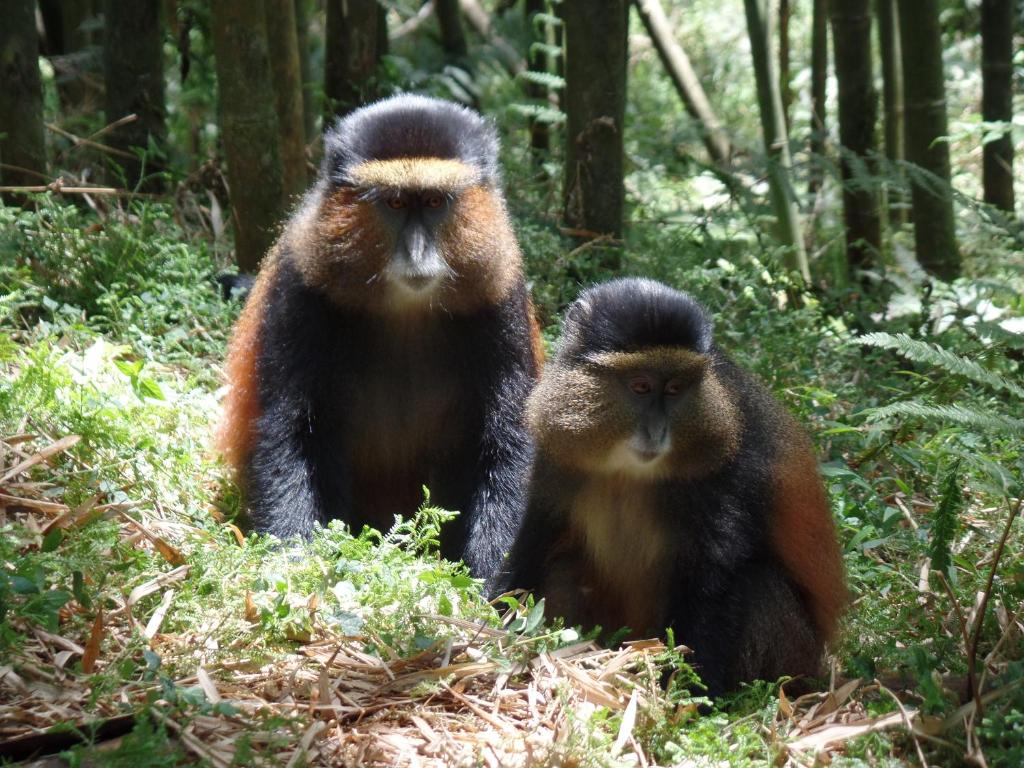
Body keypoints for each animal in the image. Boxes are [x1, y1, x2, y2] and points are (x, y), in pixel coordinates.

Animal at [218, 94, 543, 580]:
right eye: (394, 202)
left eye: (433, 201)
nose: (417, 253)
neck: (405, 308)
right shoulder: (299, 287)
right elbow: (288, 430)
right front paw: (294, 563)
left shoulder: (501, 293)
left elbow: (507, 440)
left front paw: (490, 584)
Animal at [487, 278, 846, 695]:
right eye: (641, 386)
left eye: (675, 388)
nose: (657, 432)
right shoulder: (557, 452)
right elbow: (536, 537)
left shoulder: (726, 470)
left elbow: (712, 579)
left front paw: (687, 695)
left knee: (757, 585)